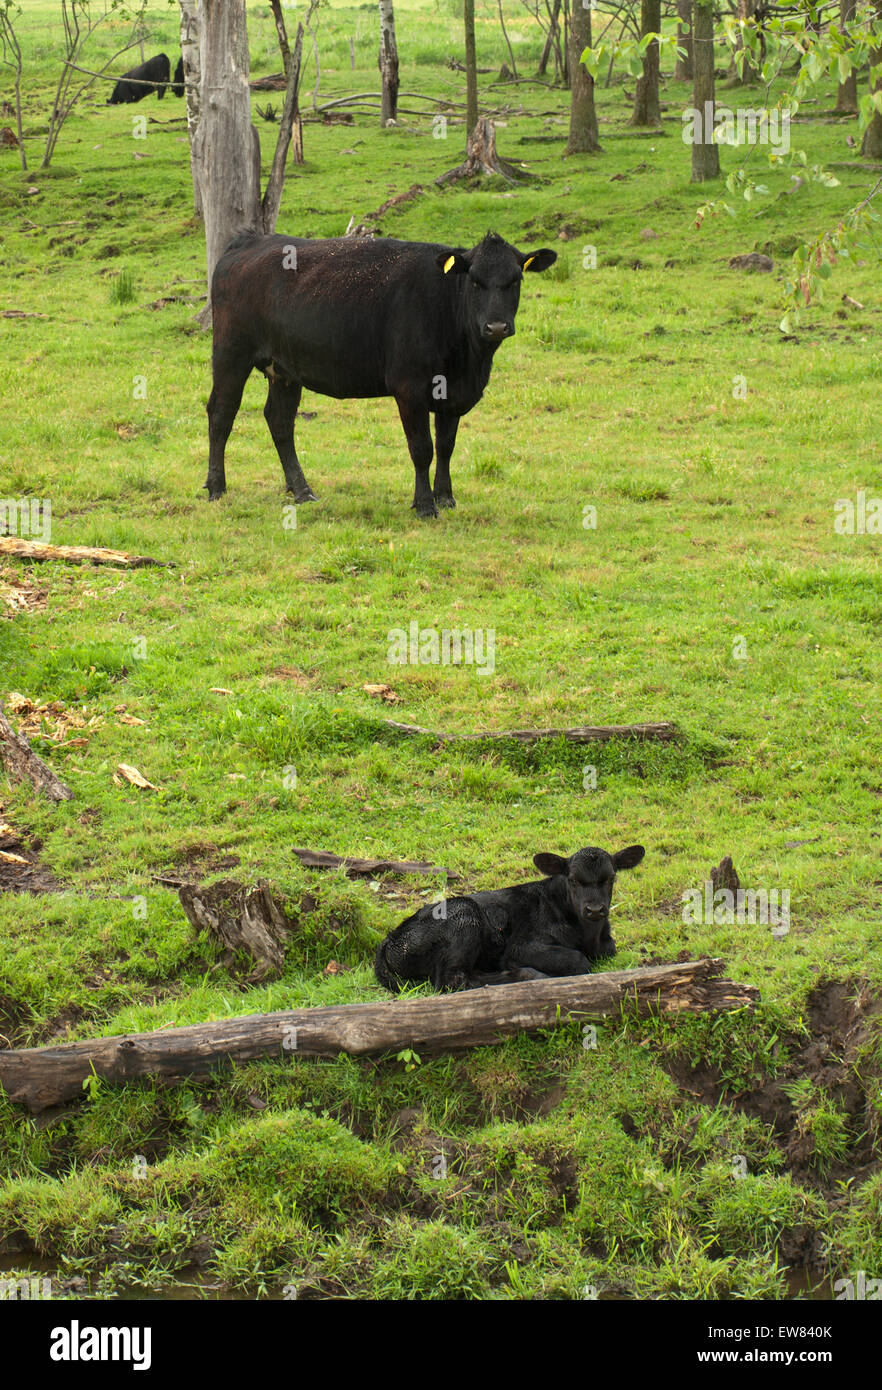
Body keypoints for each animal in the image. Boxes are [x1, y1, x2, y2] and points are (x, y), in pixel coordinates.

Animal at [205, 229, 557, 515]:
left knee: (279, 421)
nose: (496, 326)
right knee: (221, 413)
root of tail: (251, 241)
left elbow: (446, 446)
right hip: (231, 351)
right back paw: (216, 487)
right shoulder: (409, 388)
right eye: (474, 280)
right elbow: (422, 448)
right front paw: (425, 504)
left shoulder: (451, 392)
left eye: (515, 280)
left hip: (285, 368)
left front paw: (445, 497)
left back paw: (302, 490)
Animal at [374, 843, 646, 993]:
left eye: (611, 878)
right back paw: (528, 976)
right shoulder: (520, 946)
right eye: (573, 880)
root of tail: (391, 938)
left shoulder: (606, 945)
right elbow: (579, 961)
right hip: (464, 915)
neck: (588, 937)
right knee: (452, 981)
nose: (595, 909)